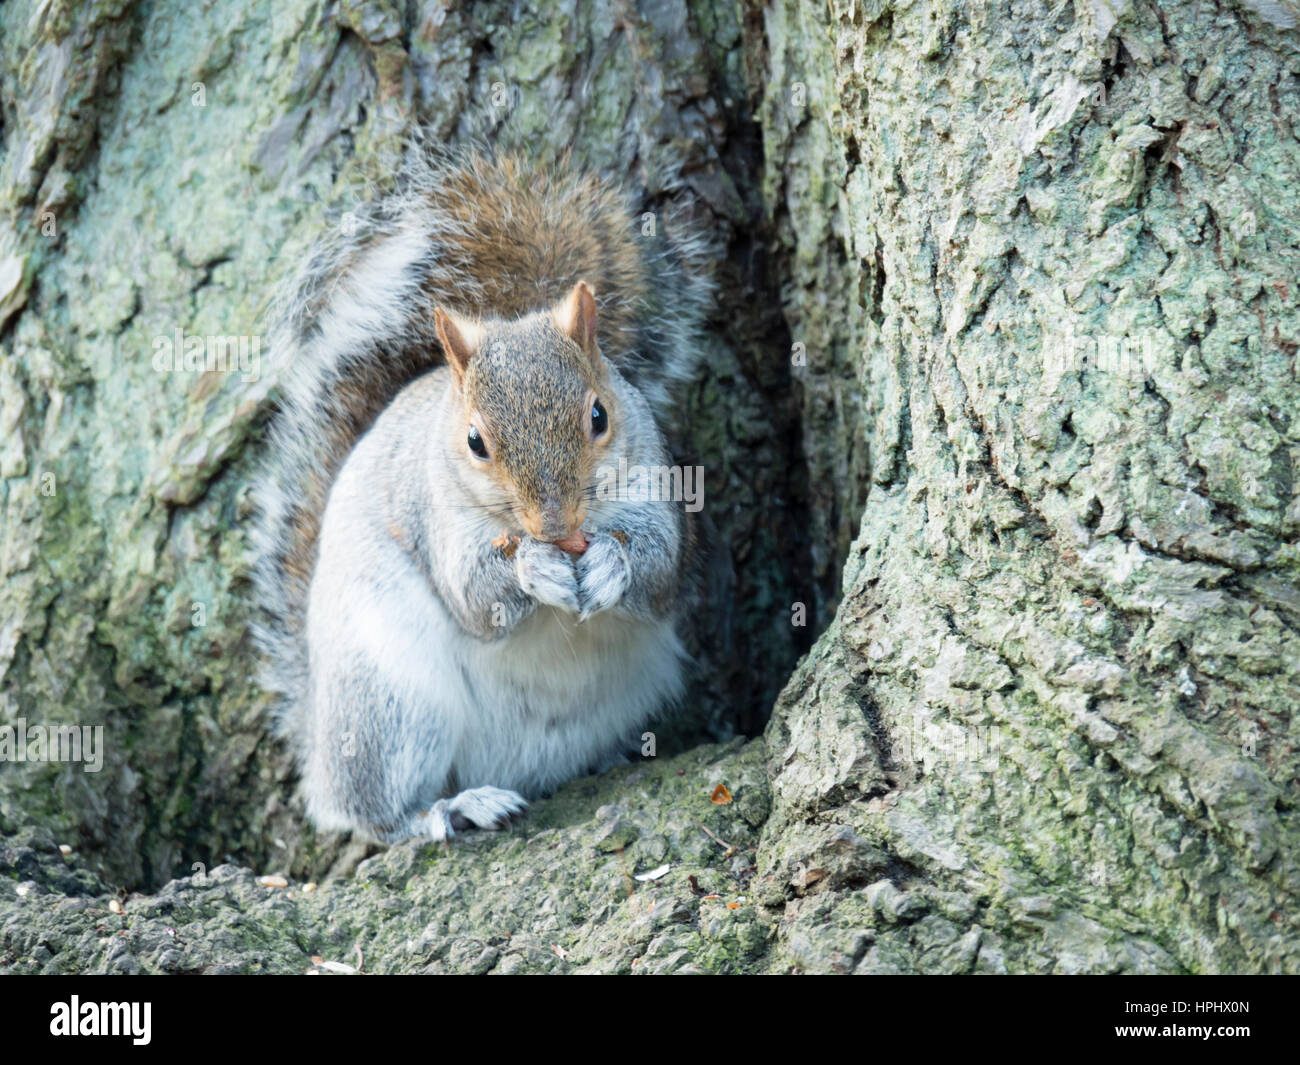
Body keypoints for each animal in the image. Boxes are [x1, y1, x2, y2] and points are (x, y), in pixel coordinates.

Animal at [252, 145, 712, 843]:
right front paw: (532, 568)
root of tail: (320, 747)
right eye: (474, 442)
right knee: (378, 816)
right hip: (391, 707)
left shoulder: (655, 486)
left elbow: (659, 569)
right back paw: (452, 807)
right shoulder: (438, 517)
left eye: (599, 415)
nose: (555, 528)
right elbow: (473, 594)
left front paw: (611, 562)